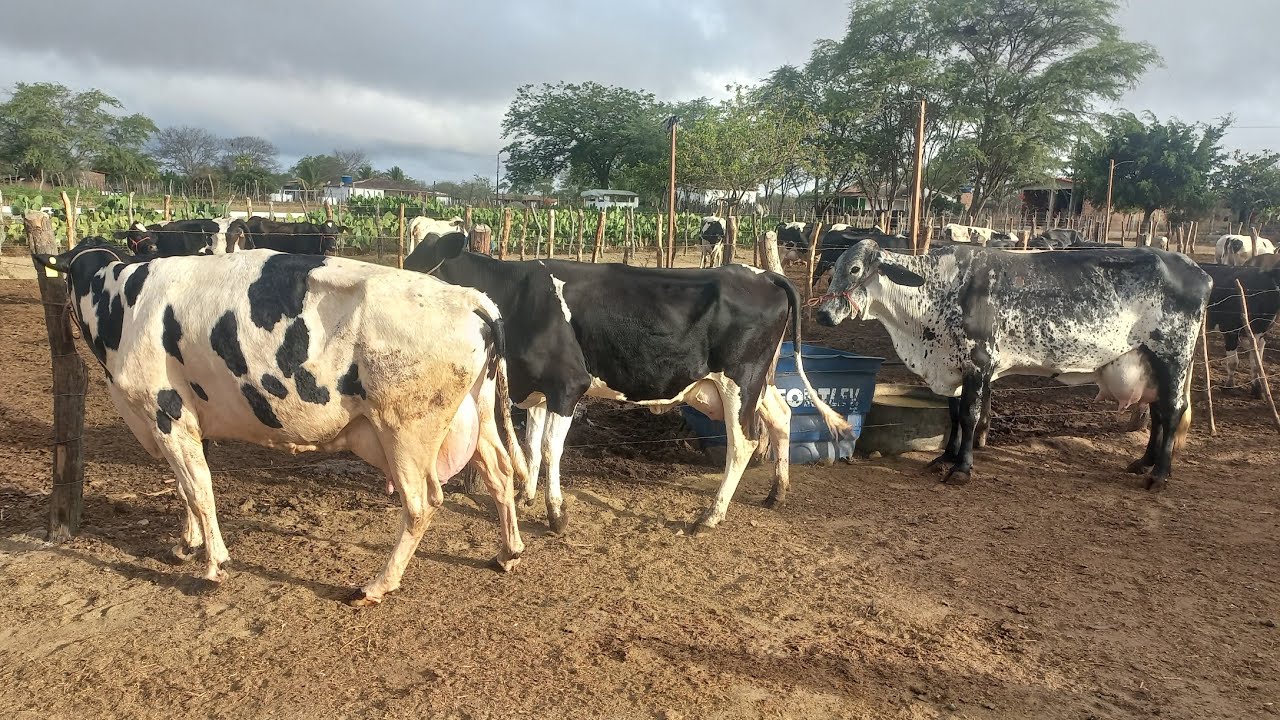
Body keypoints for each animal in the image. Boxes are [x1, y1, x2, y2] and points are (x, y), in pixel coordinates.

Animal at [34, 239, 527, 606]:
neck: (123, 301)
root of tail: (470, 297)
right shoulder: (186, 419)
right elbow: (185, 488)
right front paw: (185, 545)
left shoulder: (165, 411)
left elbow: (199, 489)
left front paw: (213, 565)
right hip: (476, 417)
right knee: (501, 475)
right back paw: (507, 552)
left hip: (405, 430)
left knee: (422, 503)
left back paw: (377, 584)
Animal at [404, 232, 850, 534]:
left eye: (416, 272)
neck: (517, 298)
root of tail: (764, 275)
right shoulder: (540, 389)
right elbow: (530, 446)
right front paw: (526, 496)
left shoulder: (569, 385)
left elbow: (549, 449)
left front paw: (556, 514)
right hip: (756, 382)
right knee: (782, 415)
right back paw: (777, 493)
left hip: (740, 379)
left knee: (744, 442)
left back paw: (710, 516)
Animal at [814, 241, 1211, 489]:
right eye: (833, 270)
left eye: (855, 268)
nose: (822, 313)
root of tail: (1198, 271)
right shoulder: (955, 367)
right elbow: (954, 415)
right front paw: (944, 458)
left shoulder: (979, 363)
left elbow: (971, 416)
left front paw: (962, 468)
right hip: (1153, 364)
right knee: (1159, 412)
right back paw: (1143, 463)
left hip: (1173, 355)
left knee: (1173, 410)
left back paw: (1159, 476)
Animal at [1199, 263, 1280, 397]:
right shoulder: (1229, 330)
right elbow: (1233, 362)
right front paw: (1229, 385)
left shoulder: (1260, 335)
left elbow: (1256, 363)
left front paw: (1257, 390)